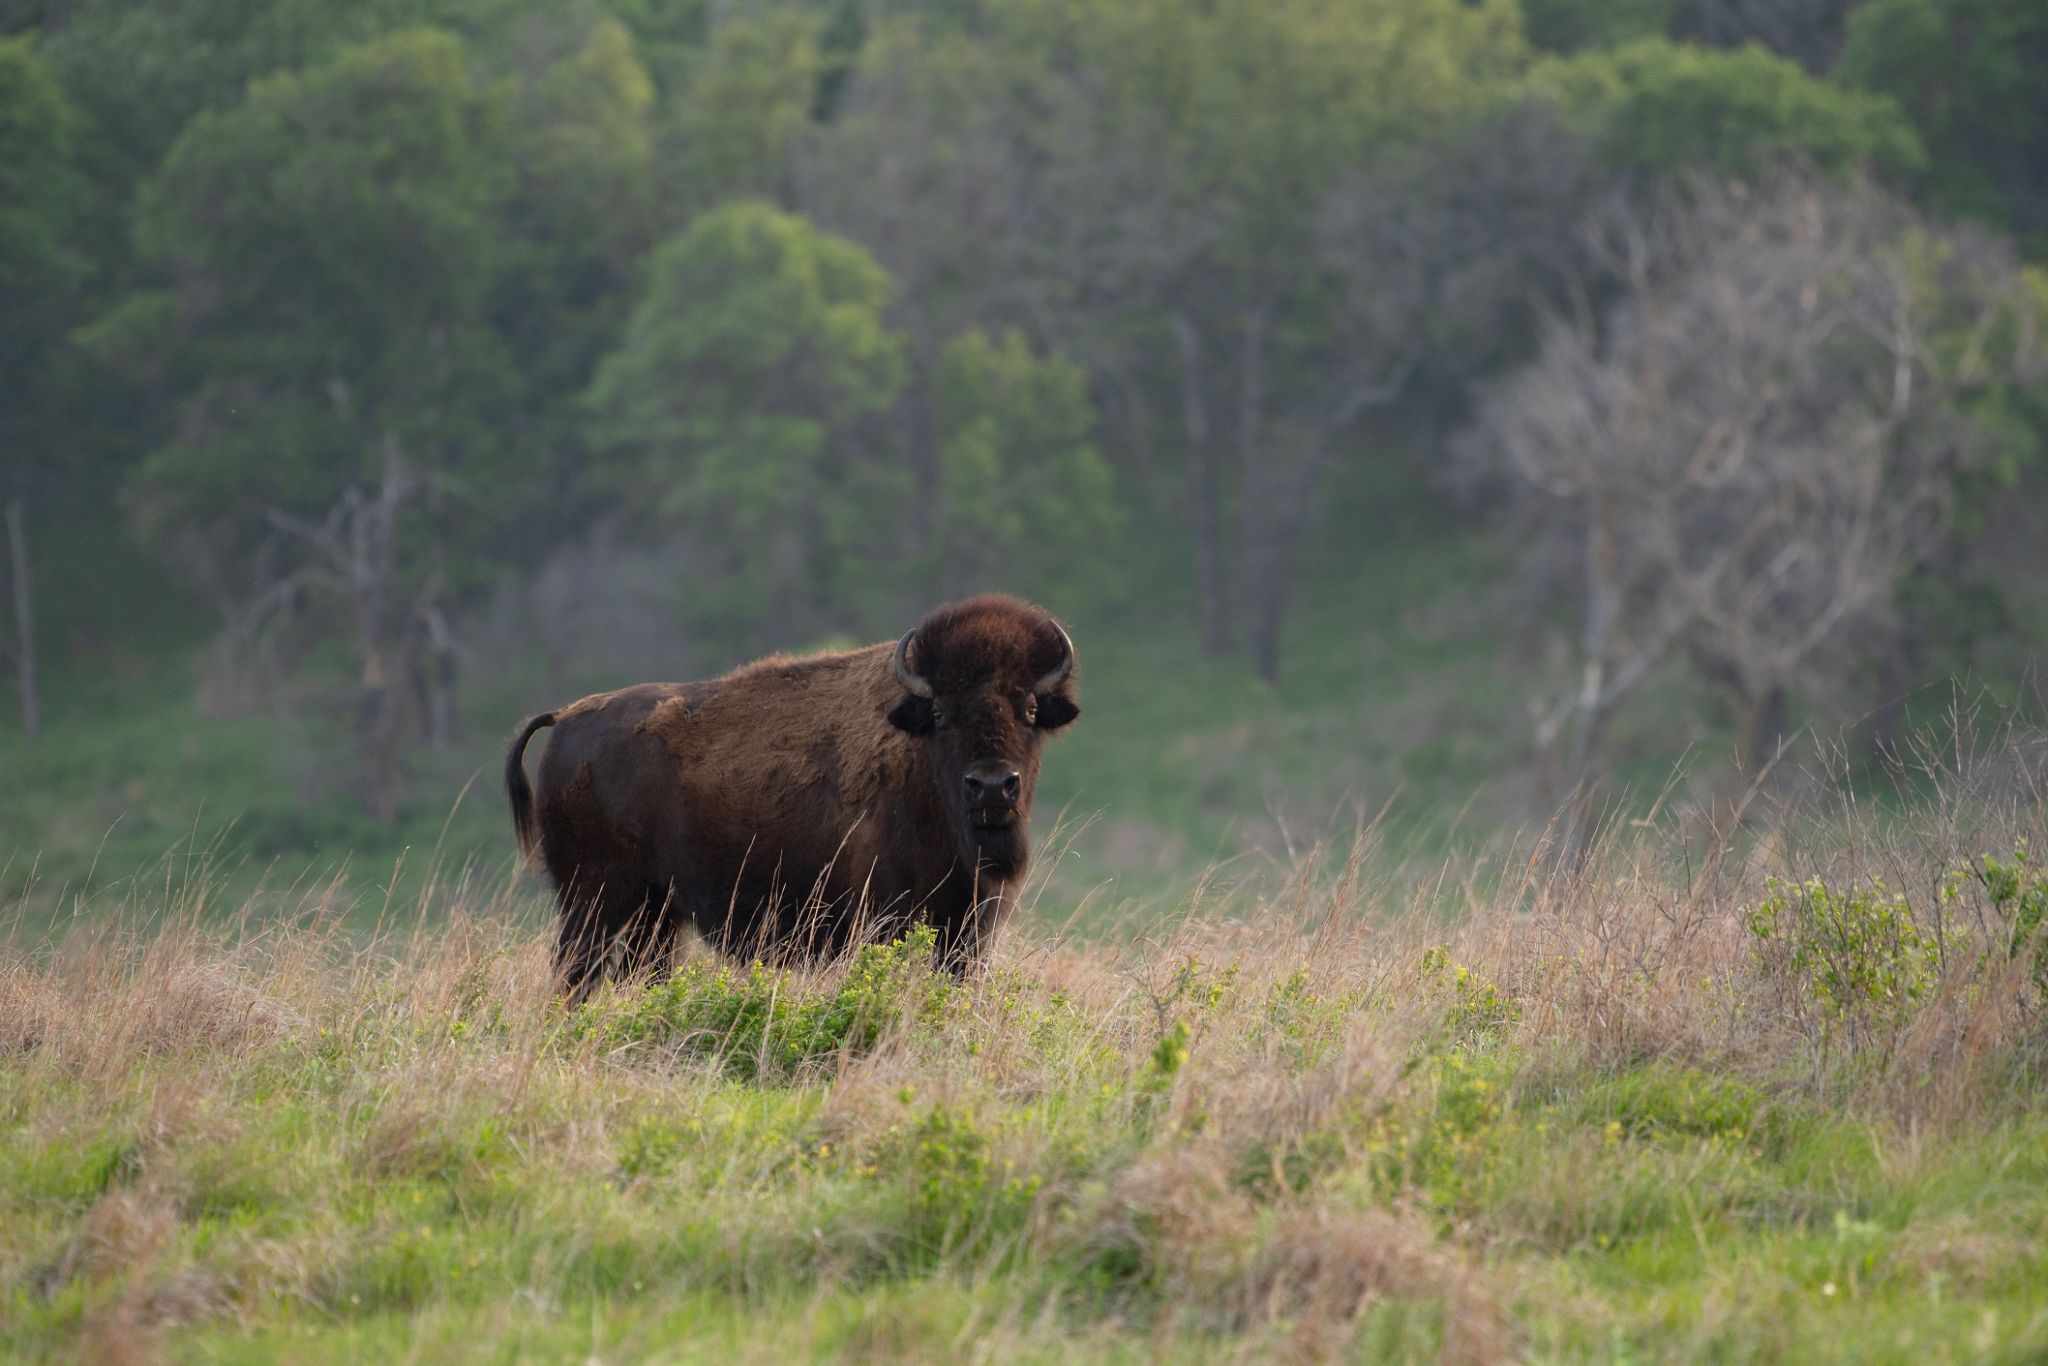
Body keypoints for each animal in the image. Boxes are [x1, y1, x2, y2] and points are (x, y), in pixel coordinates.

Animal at [505, 594, 1080, 999]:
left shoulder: (967, 927)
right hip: (594, 902)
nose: (991, 786)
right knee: (576, 973)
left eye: (1030, 709)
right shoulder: (887, 918)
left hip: (655, 912)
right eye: (940, 712)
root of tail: (567, 717)